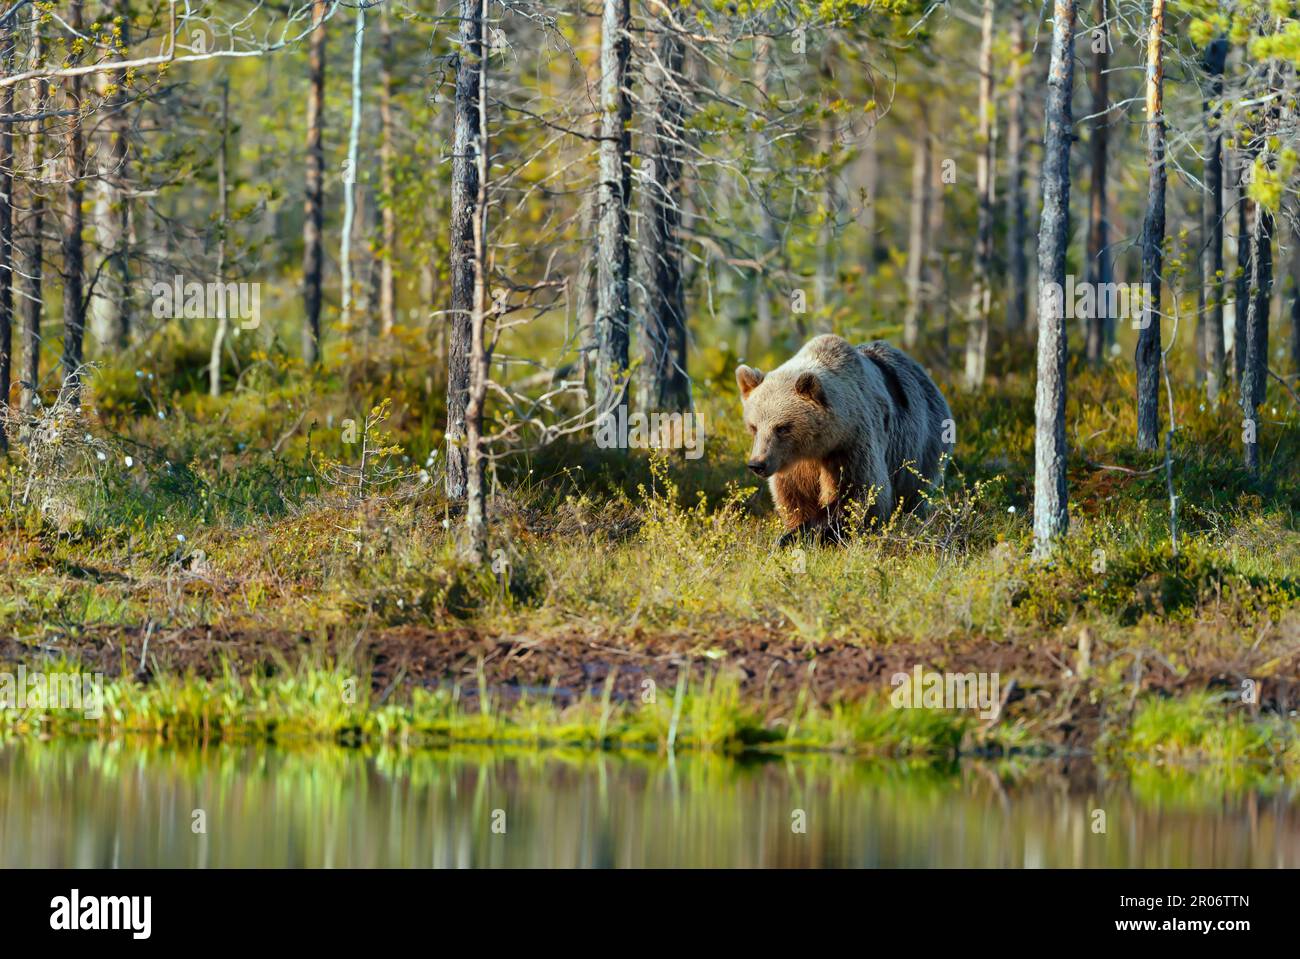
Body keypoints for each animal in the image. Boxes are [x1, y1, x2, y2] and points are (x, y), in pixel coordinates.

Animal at [735, 334, 953, 545]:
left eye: (782, 428)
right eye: (753, 426)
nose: (757, 464)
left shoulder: (852, 444)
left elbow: (860, 495)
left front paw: (799, 535)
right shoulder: (794, 466)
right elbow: (795, 499)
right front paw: (794, 532)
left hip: (922, 447)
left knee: (914, 493)